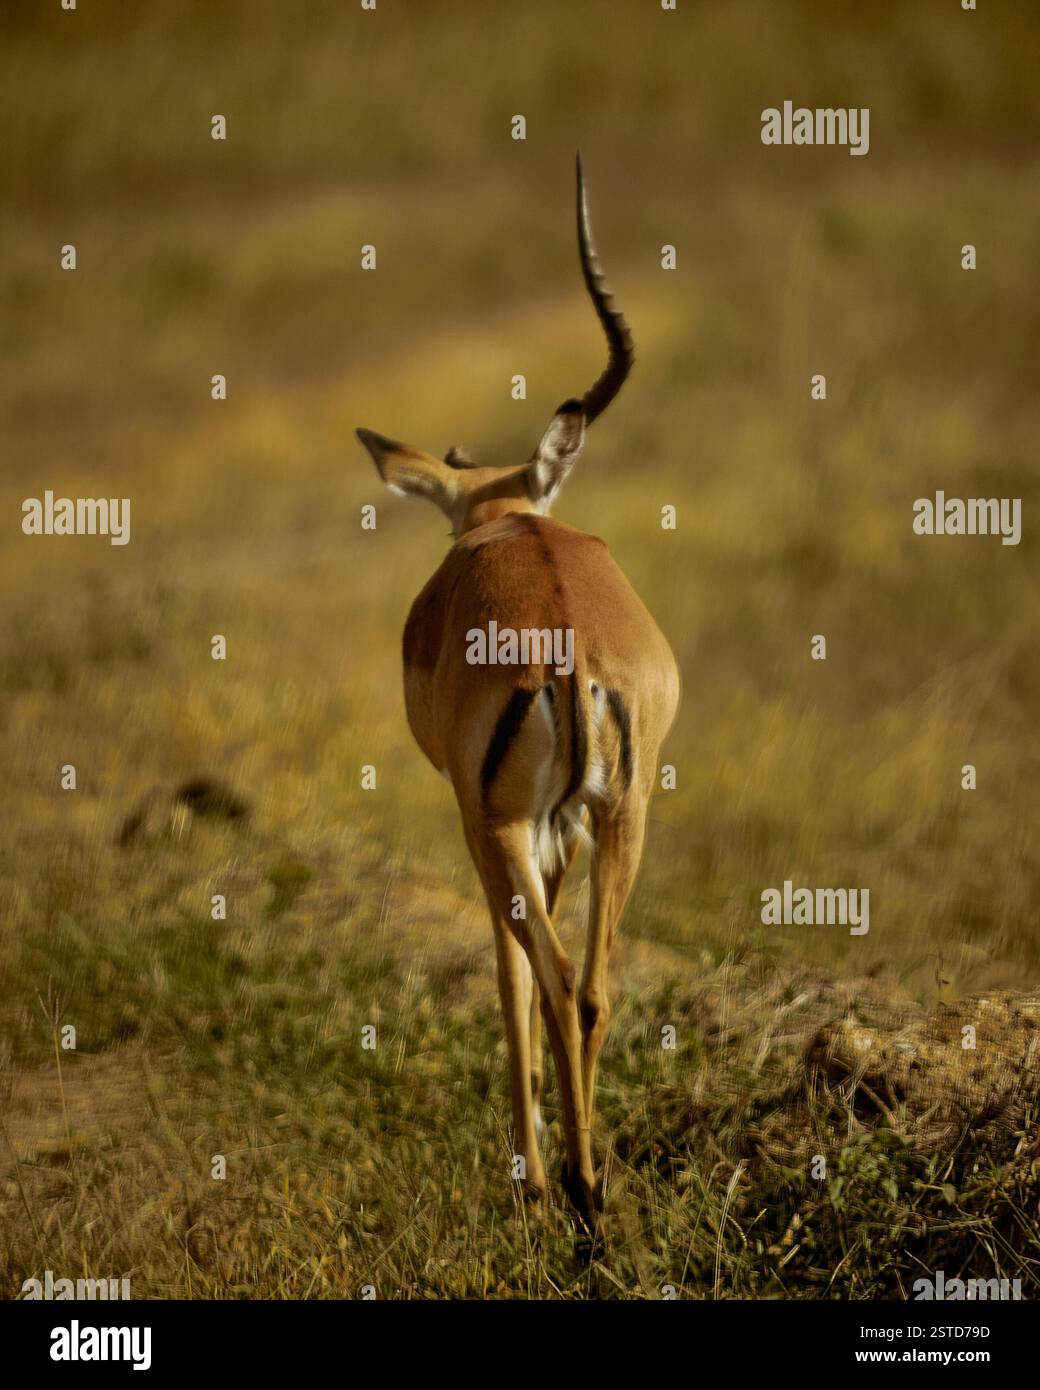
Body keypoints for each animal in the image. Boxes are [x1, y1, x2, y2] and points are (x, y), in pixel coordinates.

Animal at [356, 156, 679, 1223]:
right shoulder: (566, 824)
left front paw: (528, 1173)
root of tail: (567, 649)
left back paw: (565, 1187)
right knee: (592, 986)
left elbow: (504, 975)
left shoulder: (481, 816)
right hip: (624, 813)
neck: (507, 521)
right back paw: (595, 1187)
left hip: (499, 825)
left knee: (547, 976)